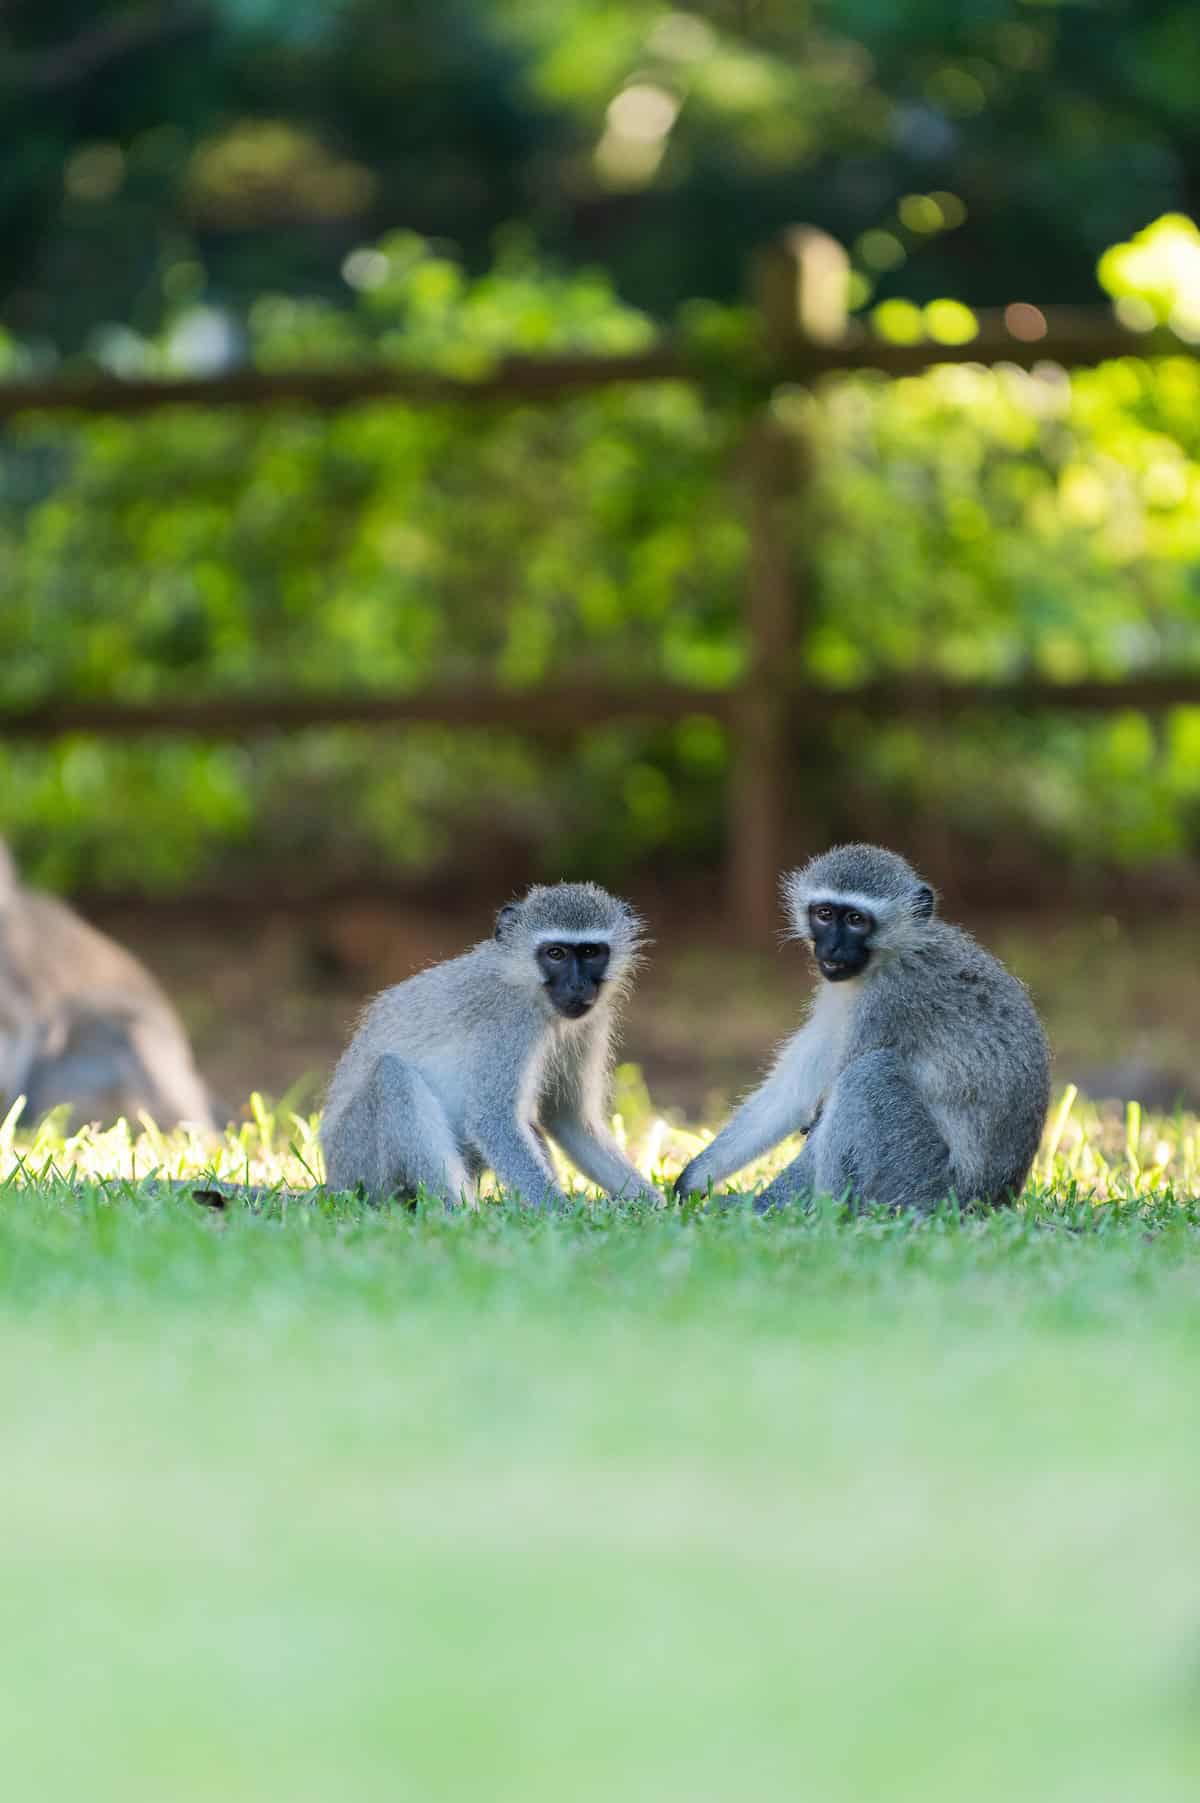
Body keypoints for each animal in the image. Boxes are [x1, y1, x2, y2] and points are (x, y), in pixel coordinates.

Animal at [320, 881, 649, 1206]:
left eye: (591, 952)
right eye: (555, 954)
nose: (577, 986)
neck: (529, 987)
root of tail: (334, 1179)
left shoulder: (590, 1024)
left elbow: (566, 1115)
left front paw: (650, 1202)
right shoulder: (509, 1022)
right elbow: (493, 1120)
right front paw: (561, 1212)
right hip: (358, 1160)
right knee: (391, 1075)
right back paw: (463, 1211)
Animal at [675, 844, 1050, 1213]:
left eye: (856, 920)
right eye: (825, 914)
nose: (832, 948)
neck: (891, 955)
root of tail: (990, 1200)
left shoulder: (888, 1002)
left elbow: (823, 1113)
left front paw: (760, 1207)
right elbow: (791, 1092)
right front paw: (690, 1181)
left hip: (923, 1183)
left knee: (867, 1074)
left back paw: (827, 1210)